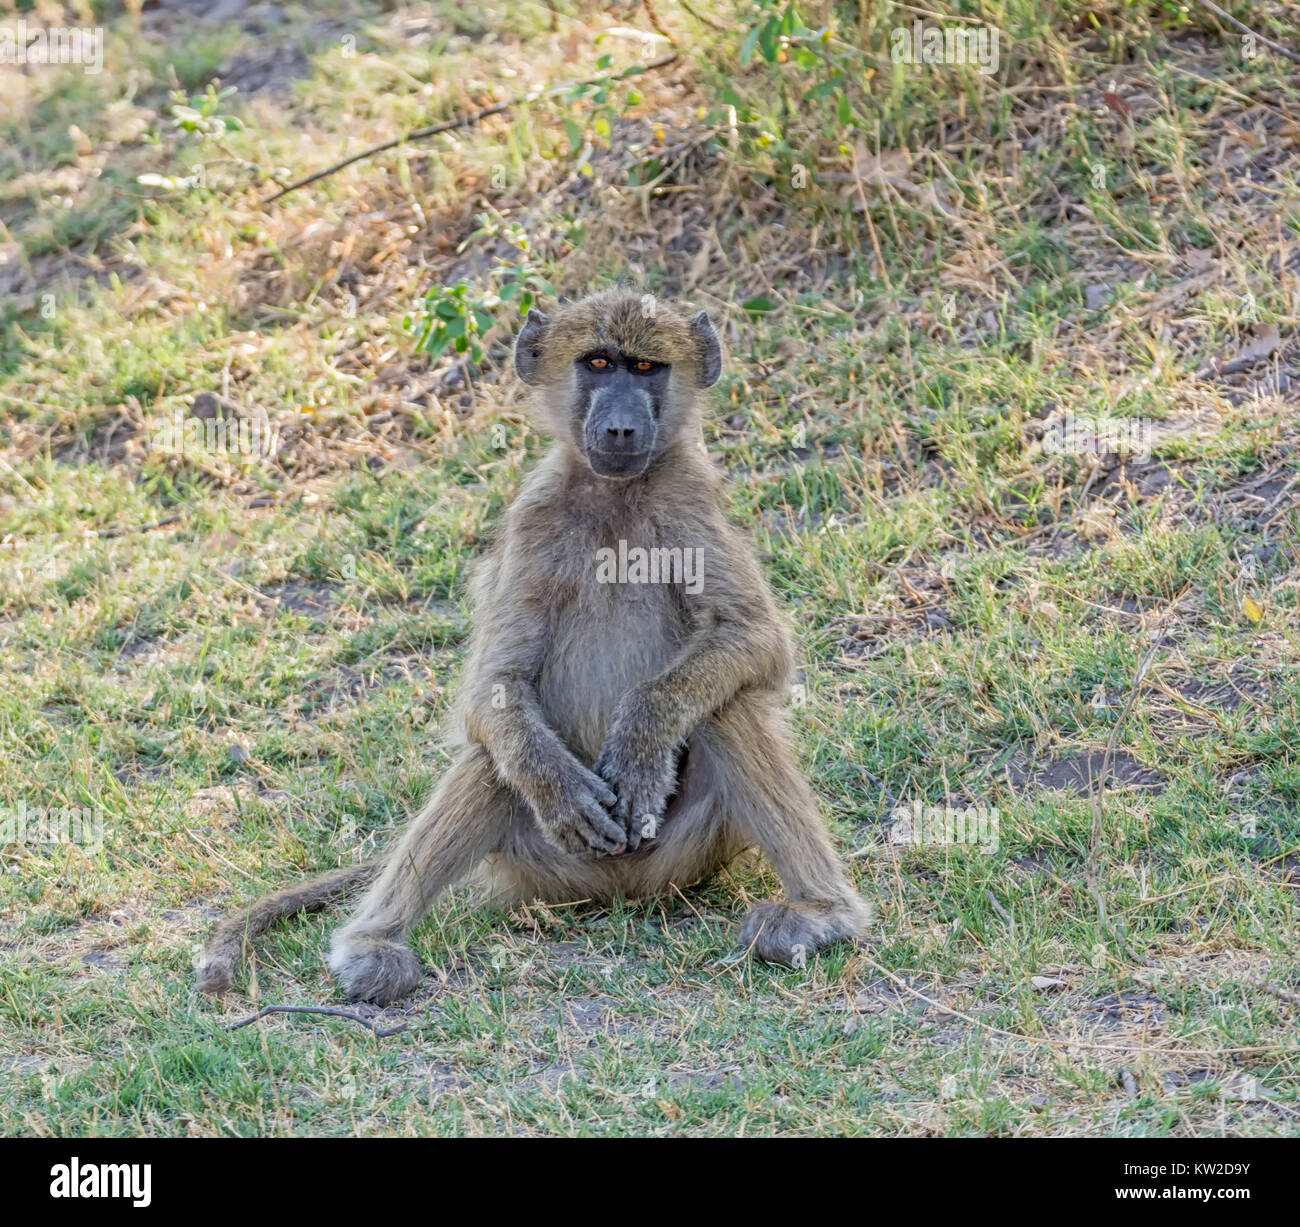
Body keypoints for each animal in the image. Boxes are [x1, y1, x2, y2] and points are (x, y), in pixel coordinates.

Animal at [197, 288, 872, 1005]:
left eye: (646, 367)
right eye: (598, 362)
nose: (621, 429)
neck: (614, 494)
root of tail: (621, 896)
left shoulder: (690, 496)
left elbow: (753, 638)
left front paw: (640, 744)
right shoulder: (532, 518)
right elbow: (494, 685)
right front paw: (564, 790)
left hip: (695, 849)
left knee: (728, 708)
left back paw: (821, 913)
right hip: (541, 867)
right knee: (491, 757)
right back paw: (372, 946)